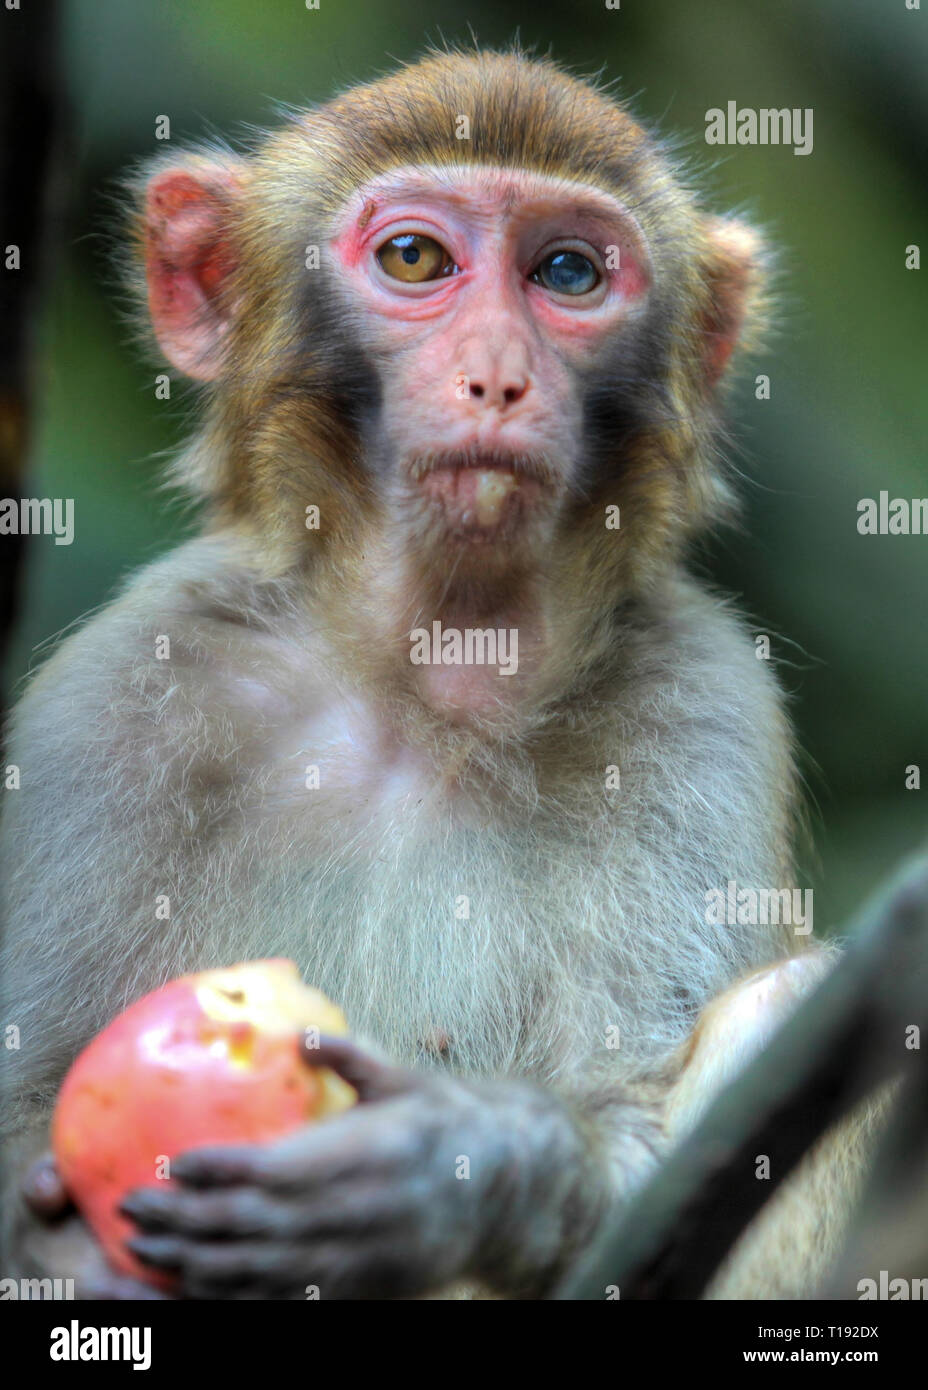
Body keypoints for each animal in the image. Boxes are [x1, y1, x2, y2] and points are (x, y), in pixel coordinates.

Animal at [0, 46, 870, 1300]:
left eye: (567, 273)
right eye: (414, 258)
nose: (498, 379)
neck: (434, 680)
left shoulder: (704, 703)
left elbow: (633, 1124)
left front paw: (452, 1162)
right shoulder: (117, 700)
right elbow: (23, 1102)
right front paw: (67, 1249)